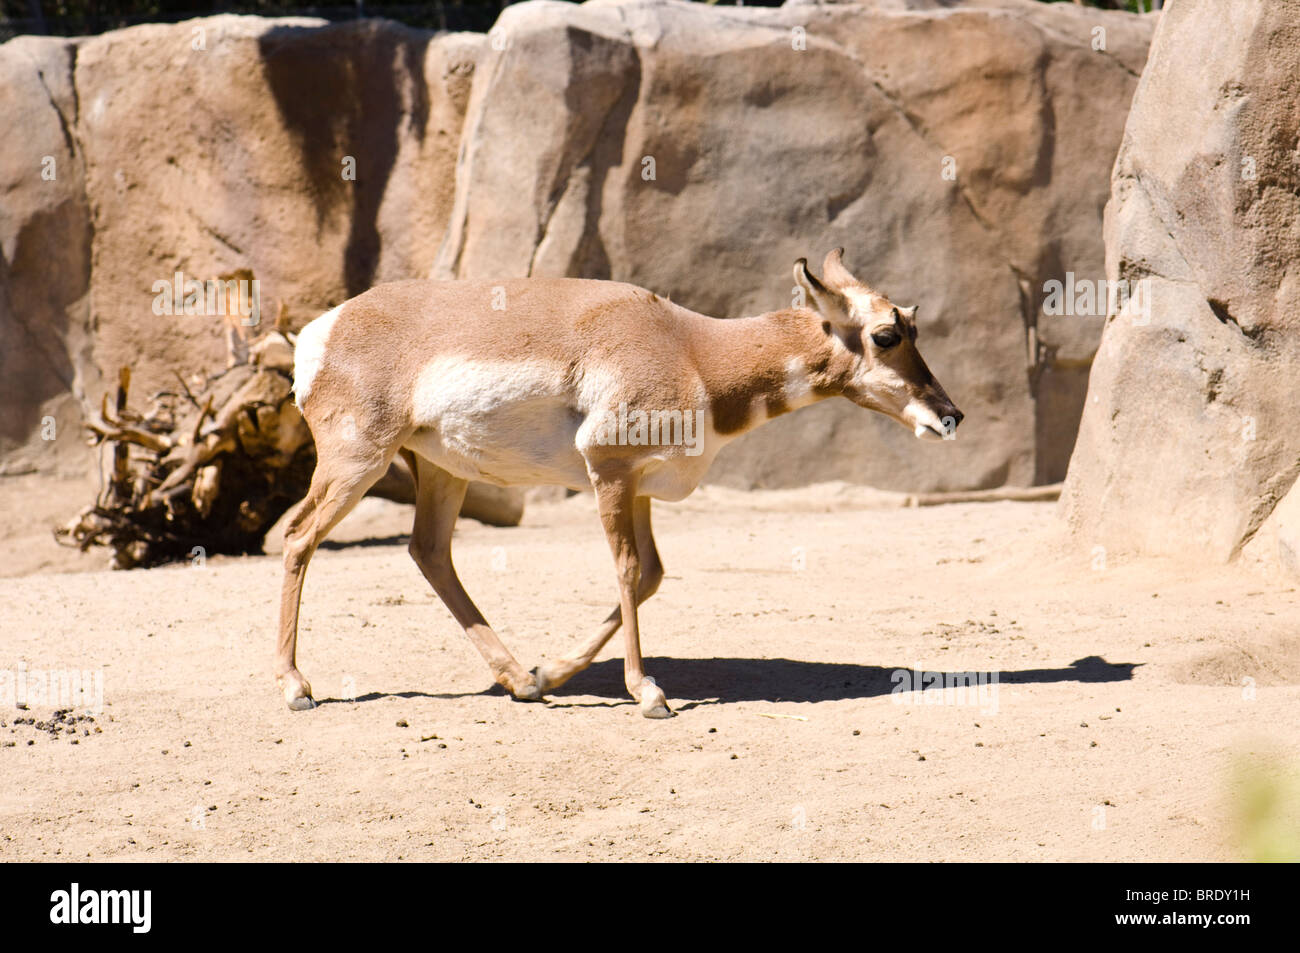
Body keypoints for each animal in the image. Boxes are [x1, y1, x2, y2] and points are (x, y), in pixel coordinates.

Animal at [277, 249, 963, 718]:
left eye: (913, 325)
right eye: (885, 334)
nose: (950, 416)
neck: (690, 347)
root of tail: (324, 329)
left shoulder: (642, 488)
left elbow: (653, 574)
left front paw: (552, 671)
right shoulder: (609, 473)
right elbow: (629, 570)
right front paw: (648, 693)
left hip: (443, 472)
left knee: (429, 551)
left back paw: (520, 681)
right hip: (357, 464)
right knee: (299, 537)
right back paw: (296, 688)